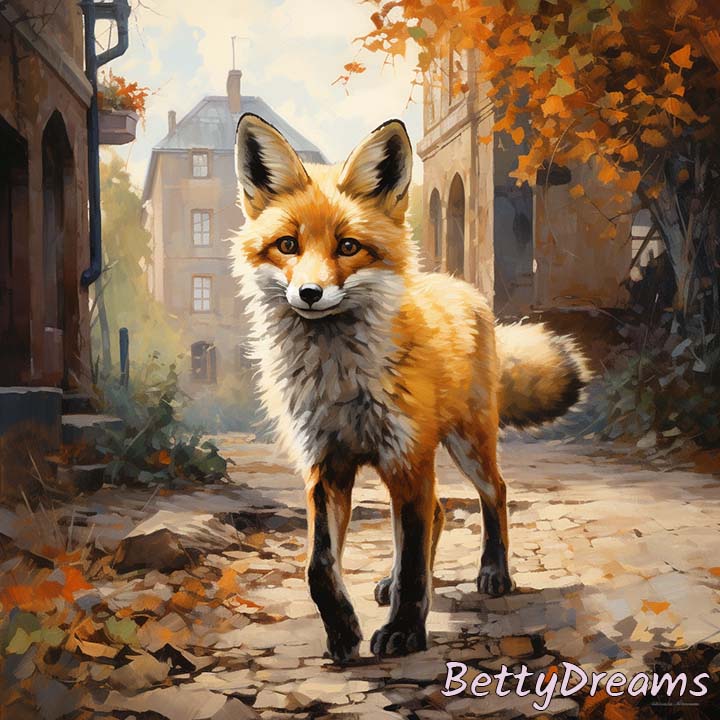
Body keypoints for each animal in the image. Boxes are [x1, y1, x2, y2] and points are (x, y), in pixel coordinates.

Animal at [231, 114, 590, 663]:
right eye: (288, 245)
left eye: (348, 246)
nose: (309, 294)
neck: (340, 380)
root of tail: (462, 286)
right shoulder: (326, 465)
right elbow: (319, 568)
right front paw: (343, 631)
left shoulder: (405, 458)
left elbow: (415, 567)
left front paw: (403, 633)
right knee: (439, 512)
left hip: (464, 445)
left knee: (495, 493)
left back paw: (495, 572)